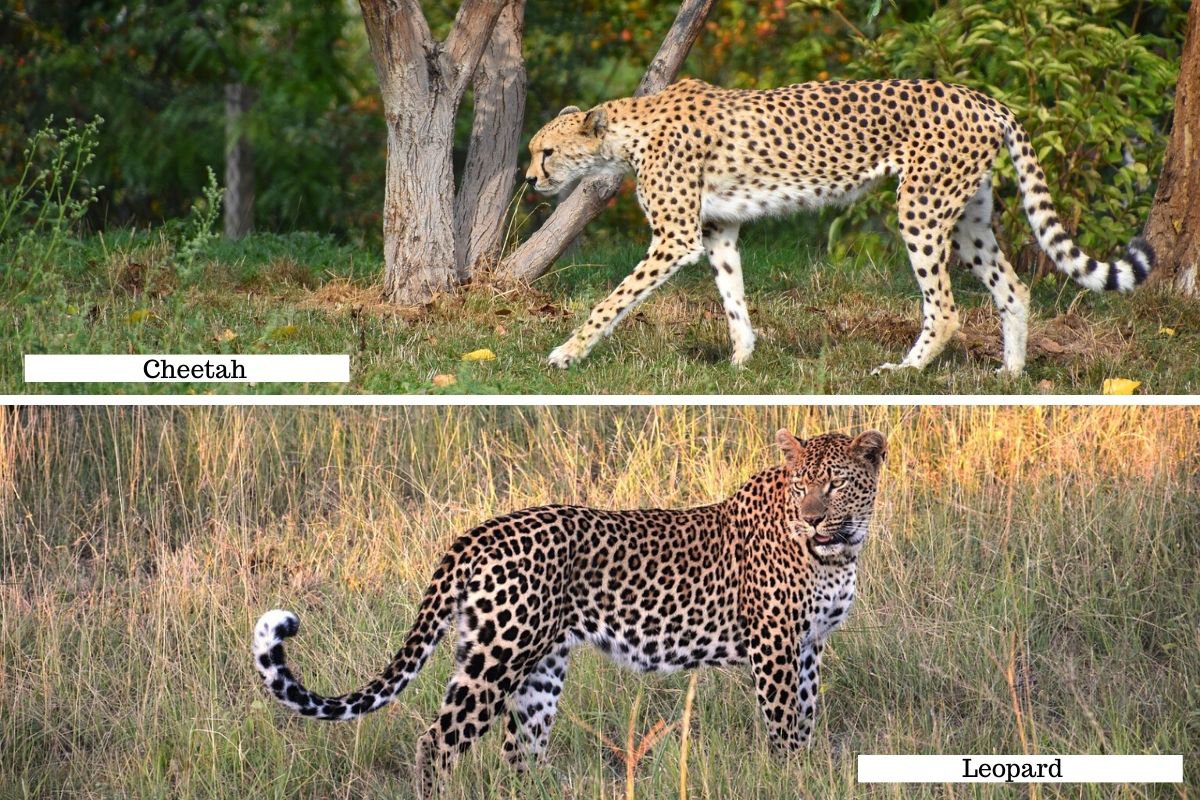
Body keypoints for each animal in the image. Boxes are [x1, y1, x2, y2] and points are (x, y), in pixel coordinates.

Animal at [252, 428, 887, 798]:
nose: (810, 518)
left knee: (519, 751)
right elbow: (784, 725)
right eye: (802, 485)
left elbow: (806, 716)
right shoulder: (775, 644)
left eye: (833, 485)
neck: (841, 550)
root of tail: (477, 533)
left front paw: (807, 770)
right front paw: (790, 778)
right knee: (438, 741)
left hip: (539, 668)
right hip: (498, 657)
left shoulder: (809, 645)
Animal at [523, 78, 1154, 375]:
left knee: (945, 307)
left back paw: (904, 371)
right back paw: (1010, 372)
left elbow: (611, 301)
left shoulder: (676, 238)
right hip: (966, 215)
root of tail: (982, 98)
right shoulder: (717, 229)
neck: (627, 131)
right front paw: (742, 359)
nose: (529, 180)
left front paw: (567, 353)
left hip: (920, 207)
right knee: (1013, 287)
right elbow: (733, 296)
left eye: (545, 152)